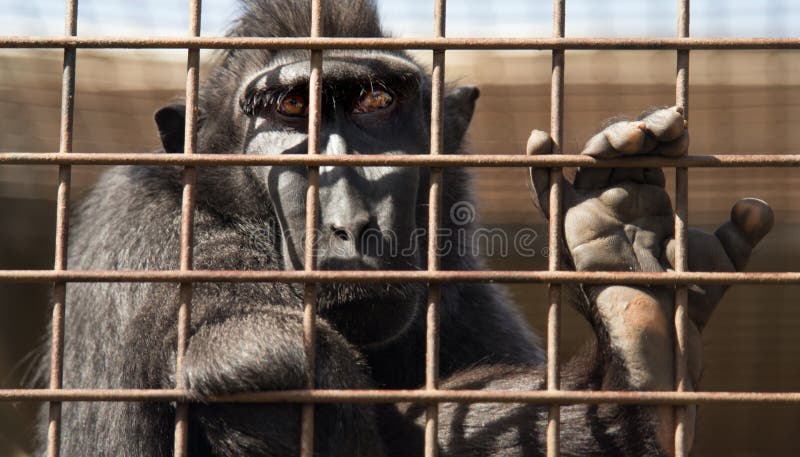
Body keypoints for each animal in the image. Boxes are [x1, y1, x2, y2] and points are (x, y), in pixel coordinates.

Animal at [33, 1, 774, 456]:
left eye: (375, 102)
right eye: (286, 108)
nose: (348, 221)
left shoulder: (462, 287)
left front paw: (633, 290)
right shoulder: (168, 243)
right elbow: (259, 358)